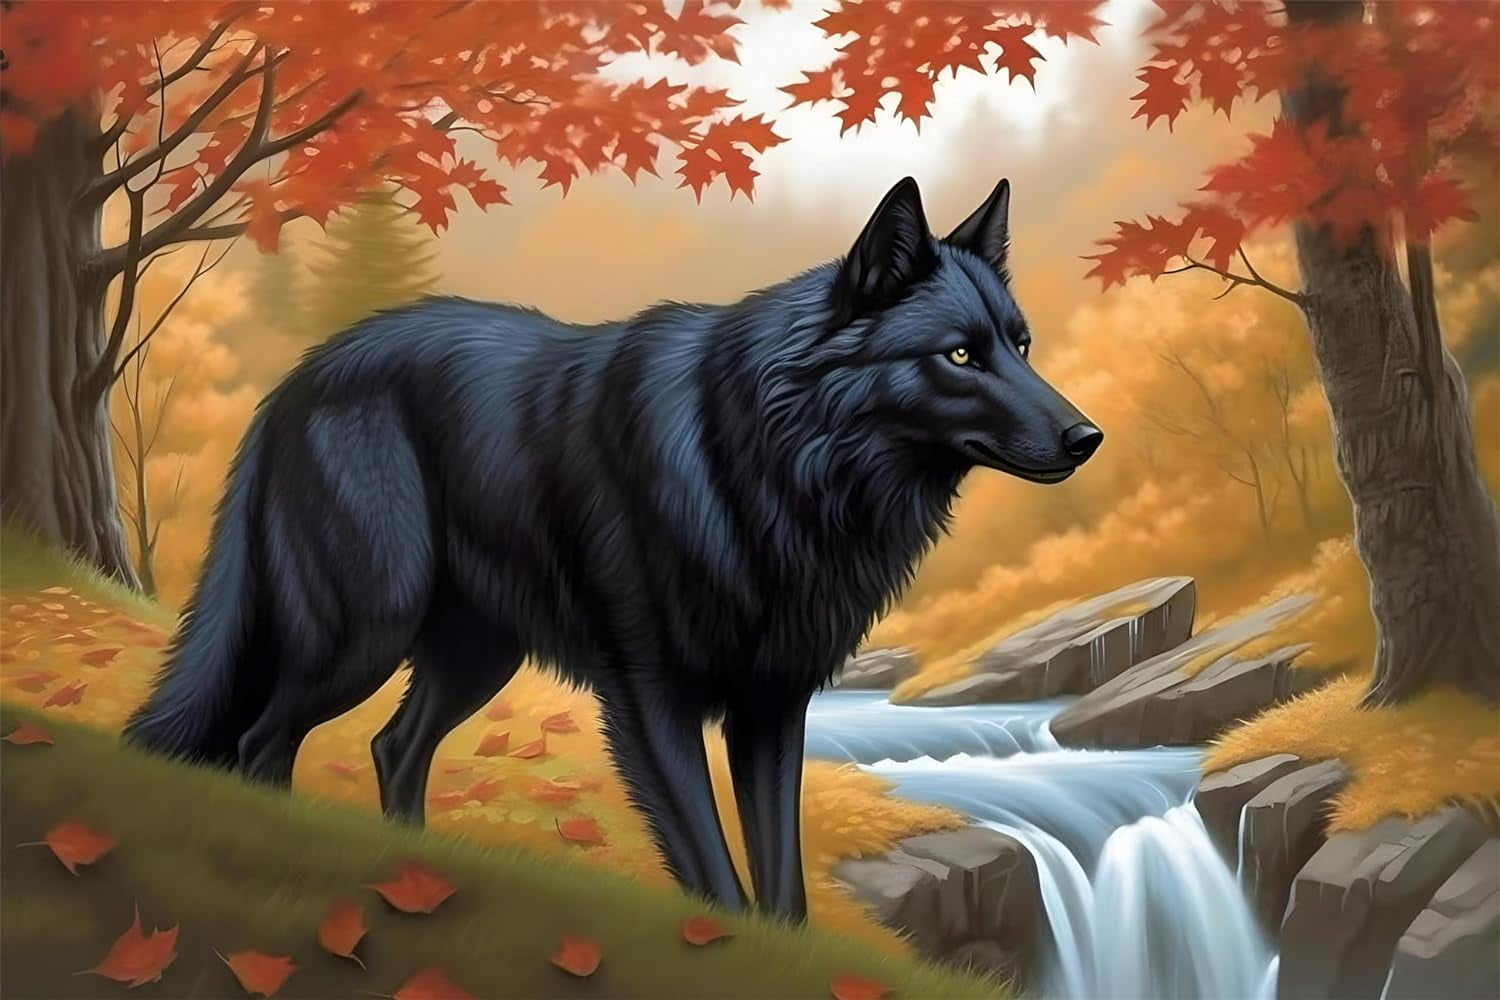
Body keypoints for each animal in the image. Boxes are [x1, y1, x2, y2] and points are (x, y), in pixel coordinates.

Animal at [123, 175, 1101, 919]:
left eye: (1019, 344)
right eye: (961, 356)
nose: (1088, 437)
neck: (778, 461)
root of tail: (295, 382)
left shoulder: (772, 706)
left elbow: (781, 881)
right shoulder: (652, 699)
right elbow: (714, 869)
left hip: (476, 654)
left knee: (392, 747)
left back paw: (418, 875)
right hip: (363, 631)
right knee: (261, 740)